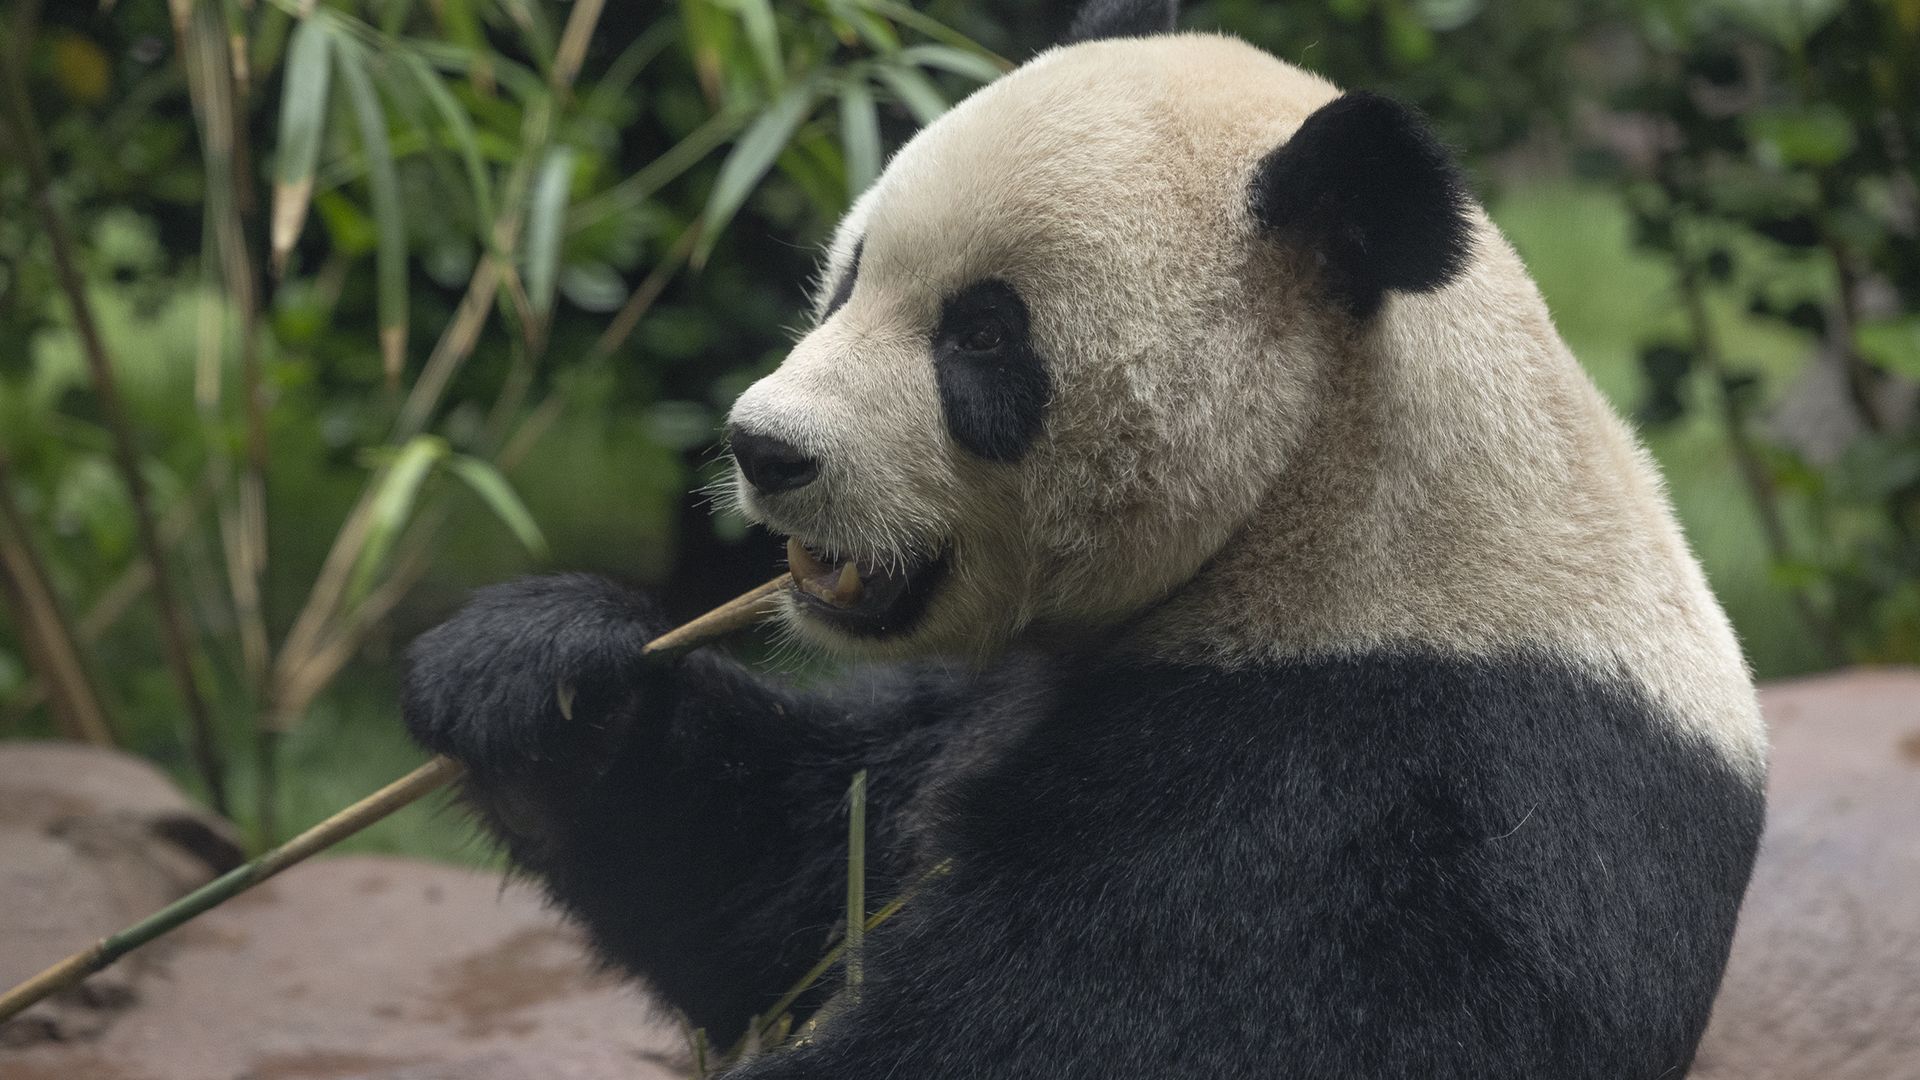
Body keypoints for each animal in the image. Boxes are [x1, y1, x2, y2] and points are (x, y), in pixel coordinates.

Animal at [402, 1, 1768, 1076]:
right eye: (847, 277)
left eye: (983, 336)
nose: (765, 448)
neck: (1322, 502)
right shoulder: (997, 698)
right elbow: (787, 874)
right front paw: (538, 673)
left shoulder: (1373, 795)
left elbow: (1068, 1022)